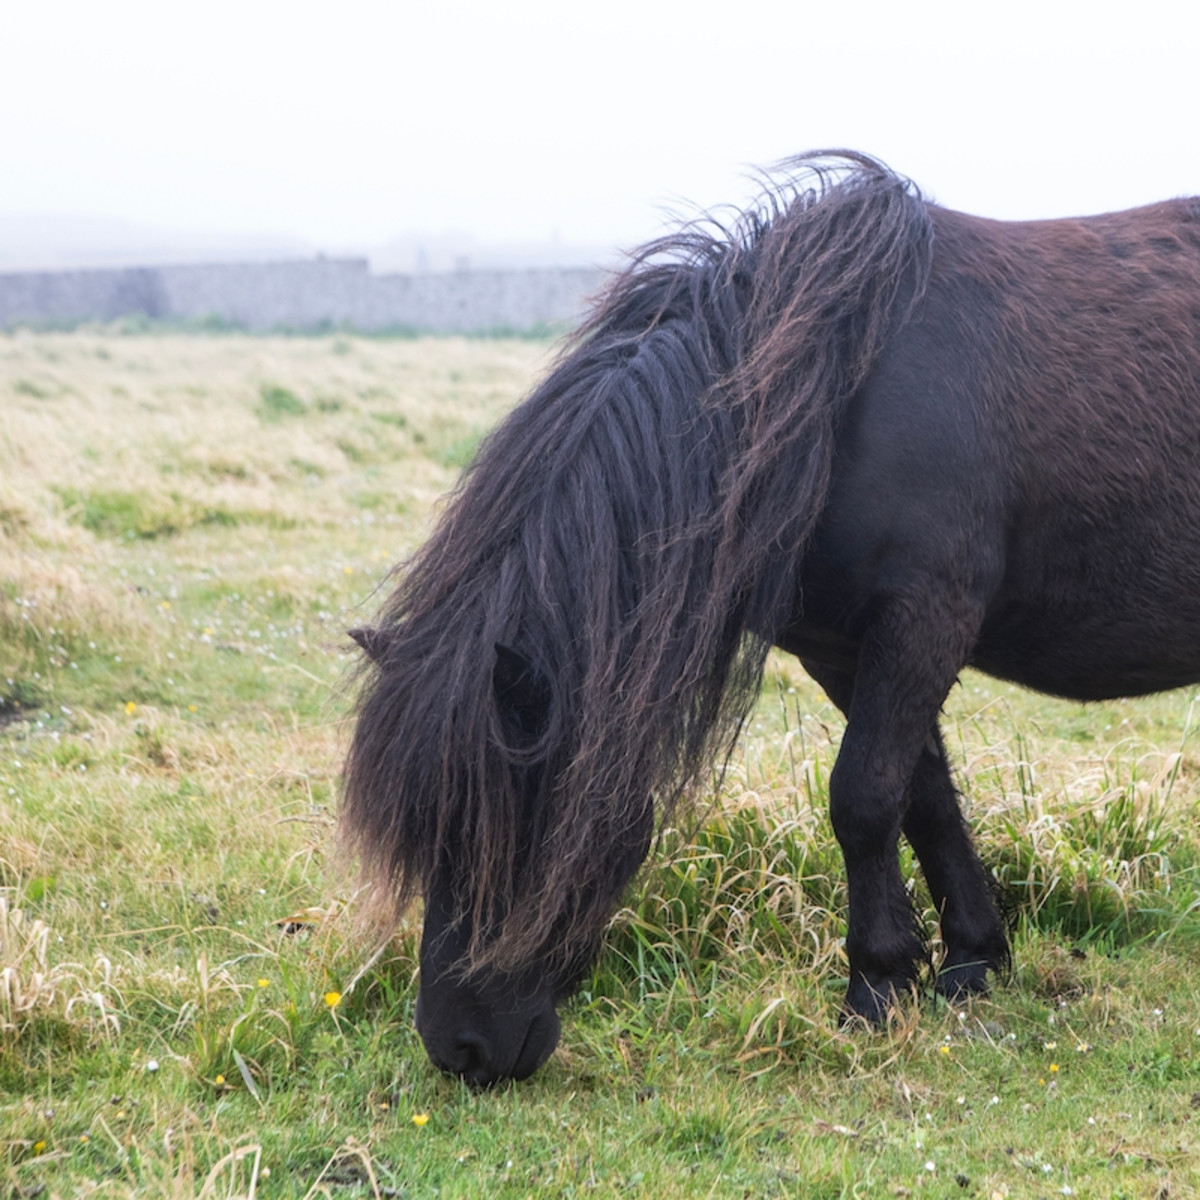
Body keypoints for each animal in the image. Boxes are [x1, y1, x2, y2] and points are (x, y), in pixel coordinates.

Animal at [342, 151, 1200, 1087]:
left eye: (500, 822)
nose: (459, 1048)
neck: (832, 394)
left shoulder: (925, 616)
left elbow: (864, 798)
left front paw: (874, 988)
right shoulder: (843, 645)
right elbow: (923, 796)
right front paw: (969, 962)